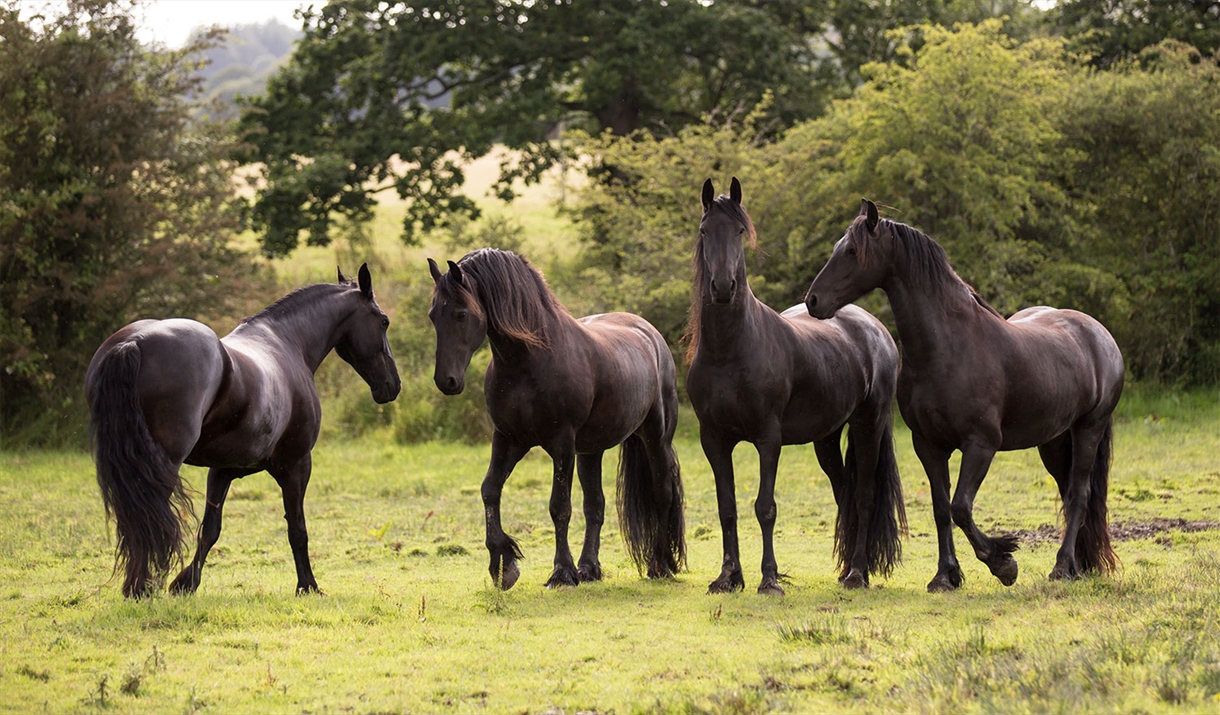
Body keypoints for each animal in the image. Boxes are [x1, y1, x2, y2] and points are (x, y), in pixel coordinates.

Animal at [86, 263, 400, 595]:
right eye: (383, 321)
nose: (392, 385)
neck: (287, 342)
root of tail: (133, 342)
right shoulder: (296, 464)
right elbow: (297, 529)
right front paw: (308, 585)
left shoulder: (223, 469)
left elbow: (210, 530)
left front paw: (186, 583)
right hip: (163, 465)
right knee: (147, 518)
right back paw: (140, 587)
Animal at [424, 247, 683, 588]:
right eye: (433, 315)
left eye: (461, 314)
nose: (447, 381)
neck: (527, 362)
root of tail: (651, 335)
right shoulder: (508, 438)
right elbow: (490, 490)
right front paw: (502, 565)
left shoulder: (561, 443)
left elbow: (559, 506)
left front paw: (561, 572)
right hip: (591, 451)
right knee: (595, 506)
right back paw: (589, 569)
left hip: (656, 437)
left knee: (661, 493)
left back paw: (659, 565)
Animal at [688, 176, 907, 590]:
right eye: (705, 231)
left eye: (740, 231)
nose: (723, 288)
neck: (729, 351)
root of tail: (874, 328)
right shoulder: (714, 439)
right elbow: (727, 508)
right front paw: (728, 577)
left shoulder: (768, 439)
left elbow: (765, 507)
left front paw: (769, 579)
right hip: (826, 438)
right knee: (845, 495)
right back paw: (847, 569)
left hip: (869, 424)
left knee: (865, 495)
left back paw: (857, 572)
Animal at [810, 200, 1122, 590]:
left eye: (852, 251)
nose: (813, 300)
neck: (948, 346)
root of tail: (1099, 334)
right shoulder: (929, 445)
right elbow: (942, 508)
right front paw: (946, 576)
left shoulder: (981, 444)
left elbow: (960, 506)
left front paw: (1003, 563)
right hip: (1053, 441)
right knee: (1068, 493)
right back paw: (1076, 566)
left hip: (1088, 429)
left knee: (1079, 495)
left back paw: (1062, 567)